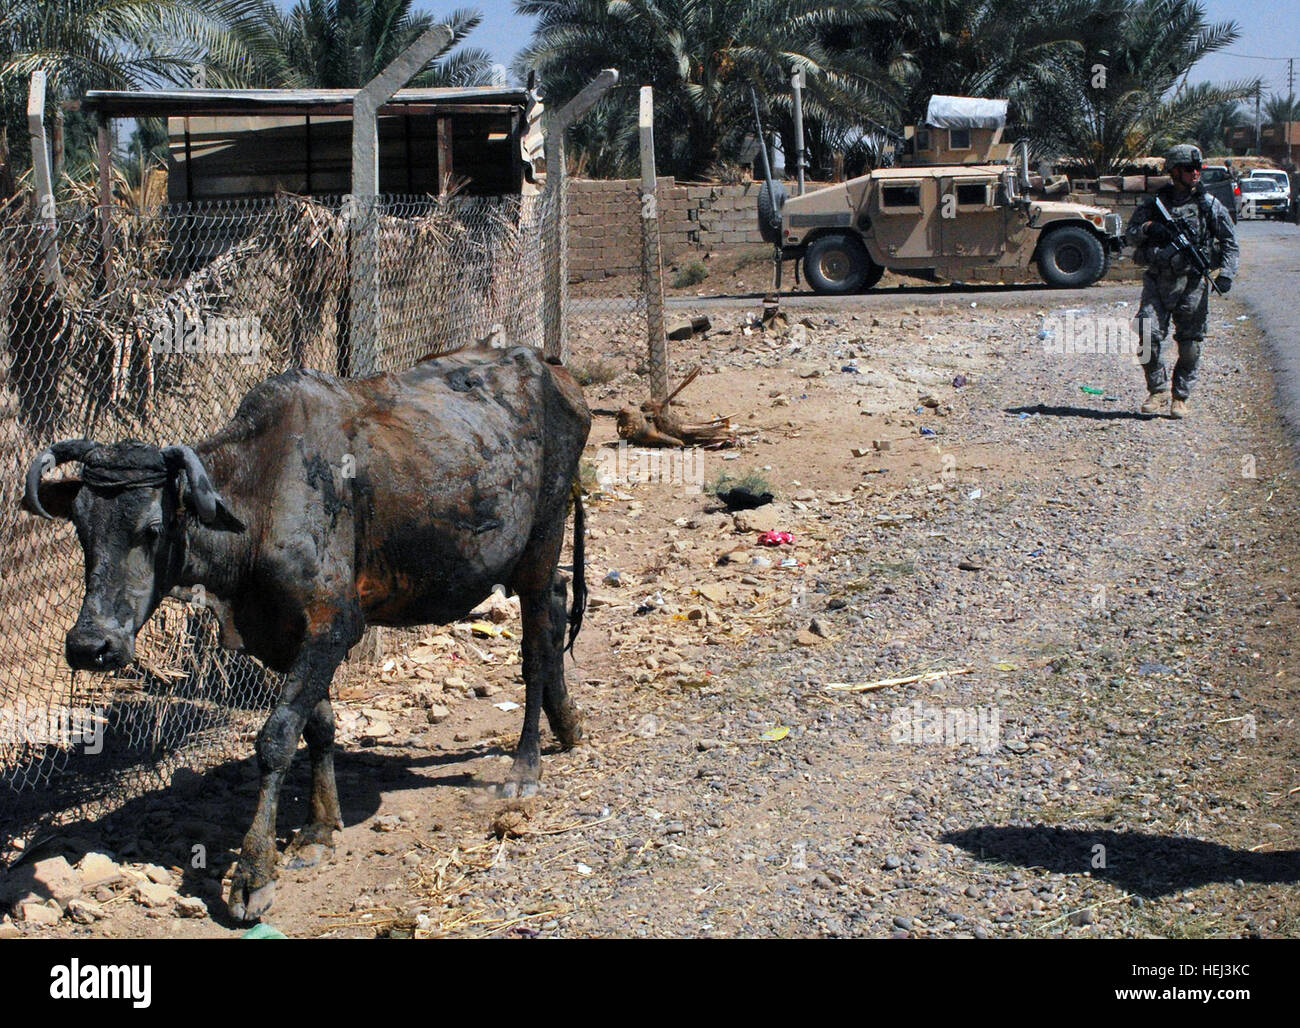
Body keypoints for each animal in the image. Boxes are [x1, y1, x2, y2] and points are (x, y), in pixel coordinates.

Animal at [22, 342, 591, 921]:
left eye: (153, 529)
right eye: (81, 529)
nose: (90, 645)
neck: (261, 496)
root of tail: (547, 363)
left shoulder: (334, 626)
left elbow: (276, 738)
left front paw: (253, 873)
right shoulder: (282, 641)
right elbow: (317, 725)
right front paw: (319, 829)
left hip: (541, 542)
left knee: (535, 649)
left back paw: (525, 767)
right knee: (560, 600)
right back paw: (567, 722)